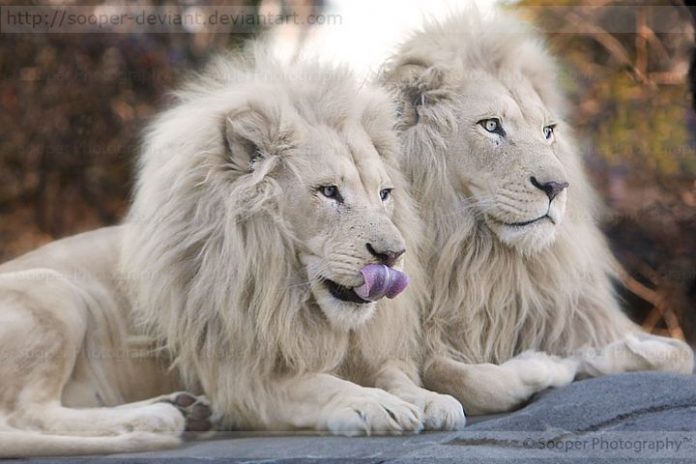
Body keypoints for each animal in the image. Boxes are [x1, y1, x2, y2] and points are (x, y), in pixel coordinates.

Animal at [0, 47, 464, 457]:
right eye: (329, 191)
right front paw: (373, 403)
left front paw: (430, 399)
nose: (392, 255)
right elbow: (317, 385)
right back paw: (155, 418)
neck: (296, 296)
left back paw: (184, 411)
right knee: (28, 415)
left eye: (385, 194)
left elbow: (394, 374)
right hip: (55, 290)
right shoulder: (241, 379)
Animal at [381, 12, 695, 416]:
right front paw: (555, 364)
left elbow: (681, 355)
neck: (479, 258)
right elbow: (469, 381)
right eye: (491, 125)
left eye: (547, 131)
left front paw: (602, 355)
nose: (557, 186)